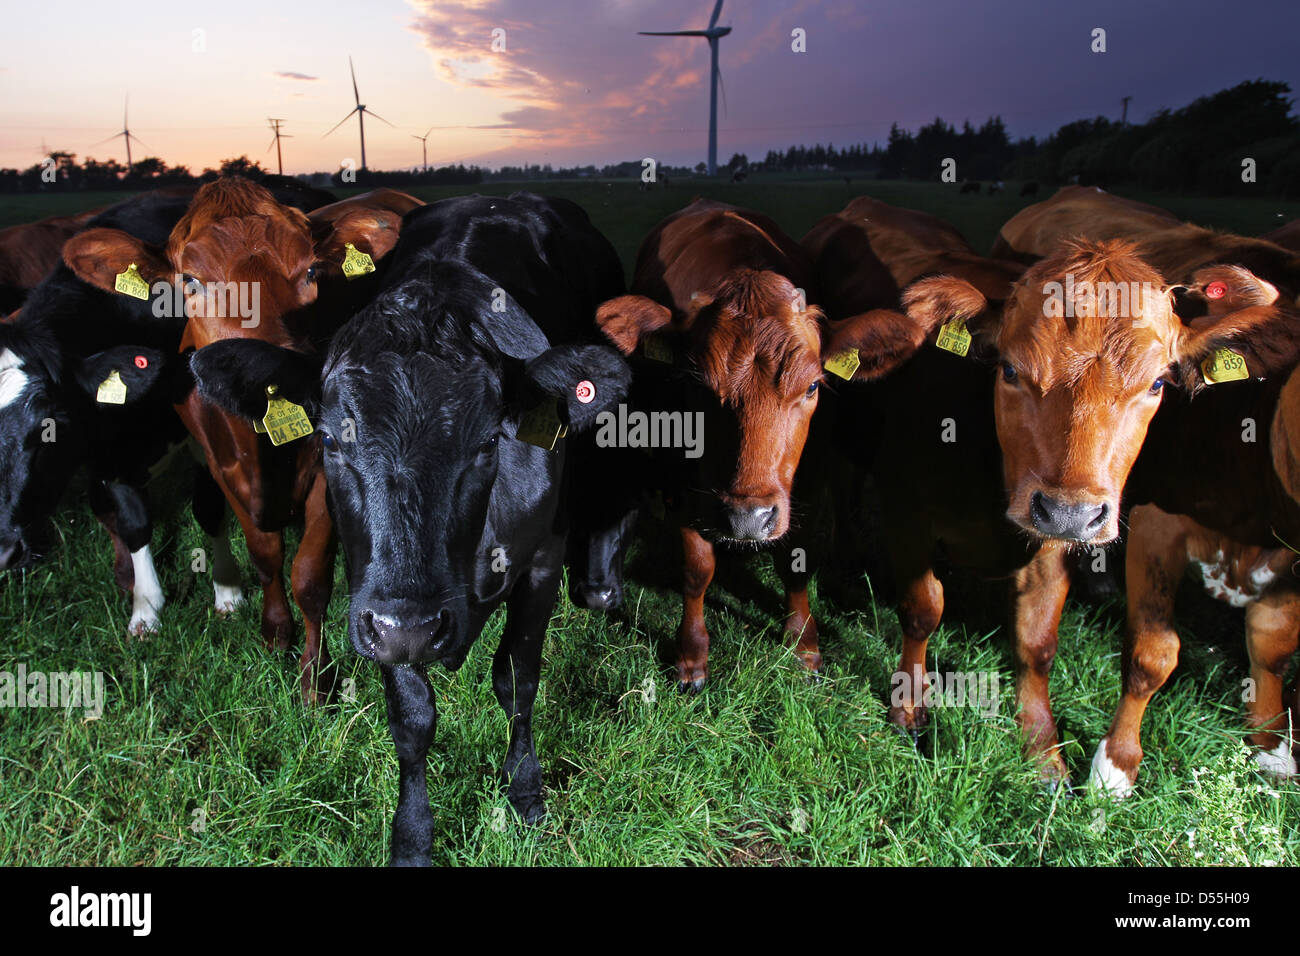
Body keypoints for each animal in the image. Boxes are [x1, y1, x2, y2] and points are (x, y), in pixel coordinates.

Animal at [59, 177, 422, 701]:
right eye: (191, 281)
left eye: (311, 270)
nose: (272, 370)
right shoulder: (219, 464)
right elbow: (265, 556)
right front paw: (275, 635)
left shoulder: (327, 470)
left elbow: (309, 575)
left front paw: (314, 678)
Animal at [187, 192, 632, 865]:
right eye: (328, 441)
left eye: (487, 441)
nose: (414, 627)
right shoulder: (376, 597)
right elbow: (413, 715)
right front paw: (413, 836)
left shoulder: (542, 562)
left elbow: (518, 679)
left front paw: (525, 792)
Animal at [594, 198, 945, 690]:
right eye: (697, 384)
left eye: (813, 386)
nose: (748, 517)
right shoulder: (686, 484)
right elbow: (697, 570)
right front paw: (691, 655)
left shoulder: (810, 480)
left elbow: (796, 563)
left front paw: (803, 642)